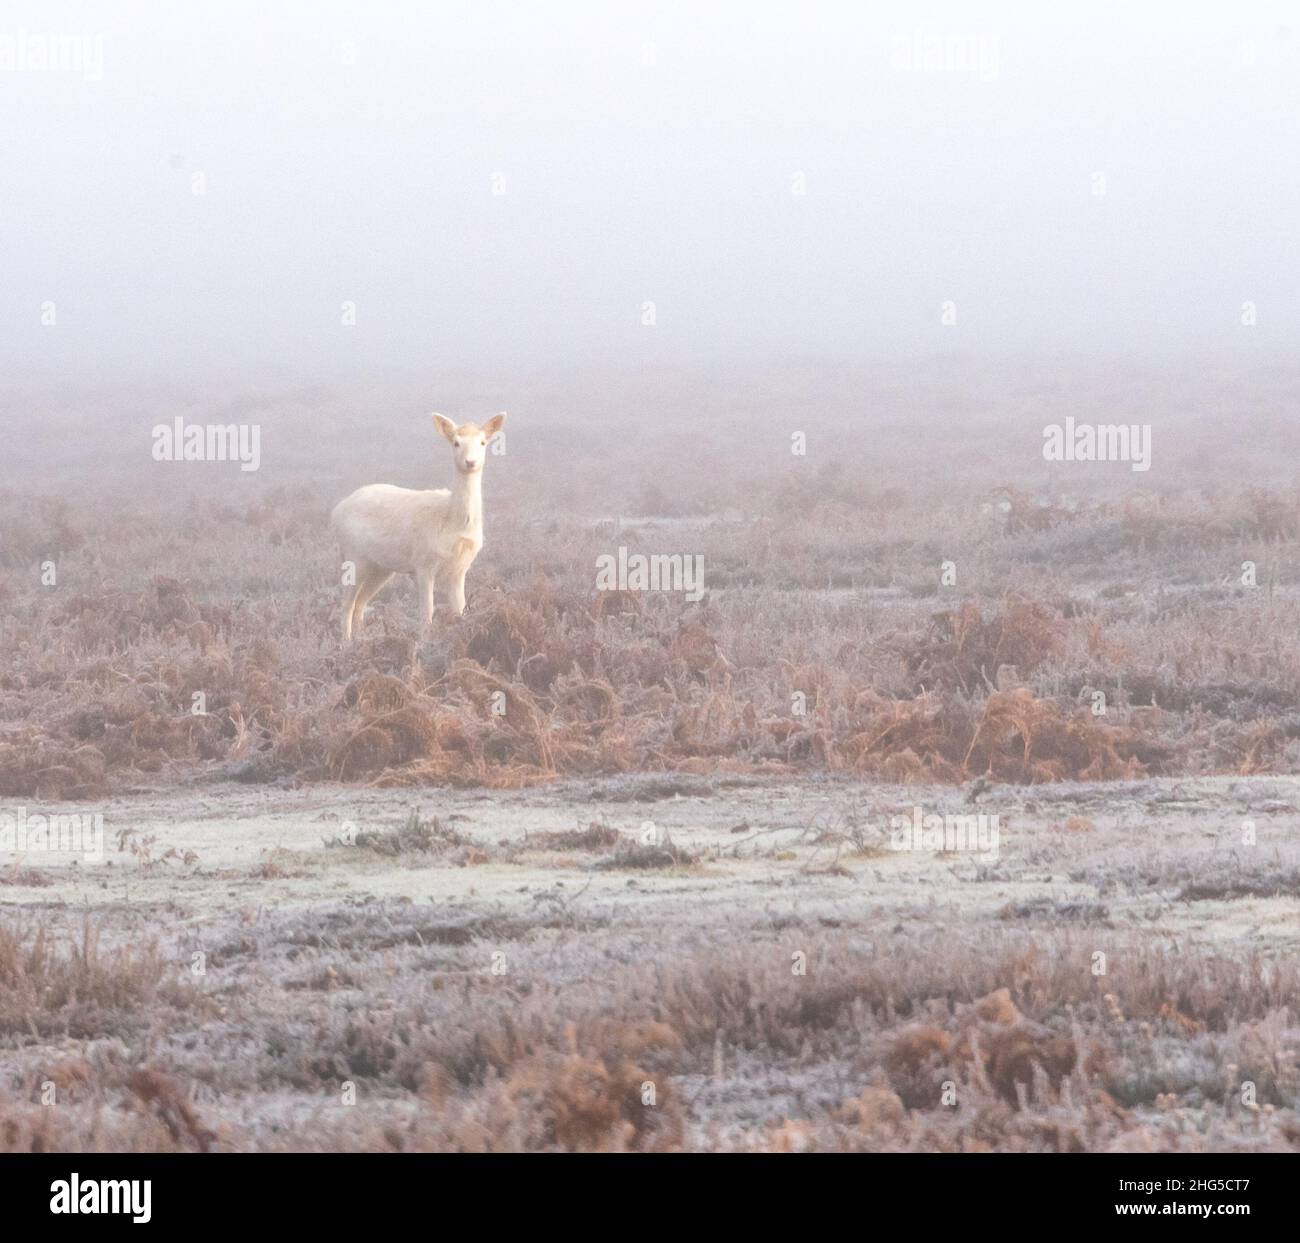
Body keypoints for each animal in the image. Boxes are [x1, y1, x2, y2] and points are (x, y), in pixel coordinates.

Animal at [330, 412, 506, 642]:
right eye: (456, 442)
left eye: (483, 442)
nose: (470, 462)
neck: (452, 521)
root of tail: (336, 512)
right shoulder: (423, 564)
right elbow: (427, 613)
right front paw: (424, 642)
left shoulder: (460, 568)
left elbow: (460, 610)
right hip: (353, 557)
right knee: (347, 605)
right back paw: (346, 644)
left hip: (381, 568)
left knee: (361, 603)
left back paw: (363, 640)